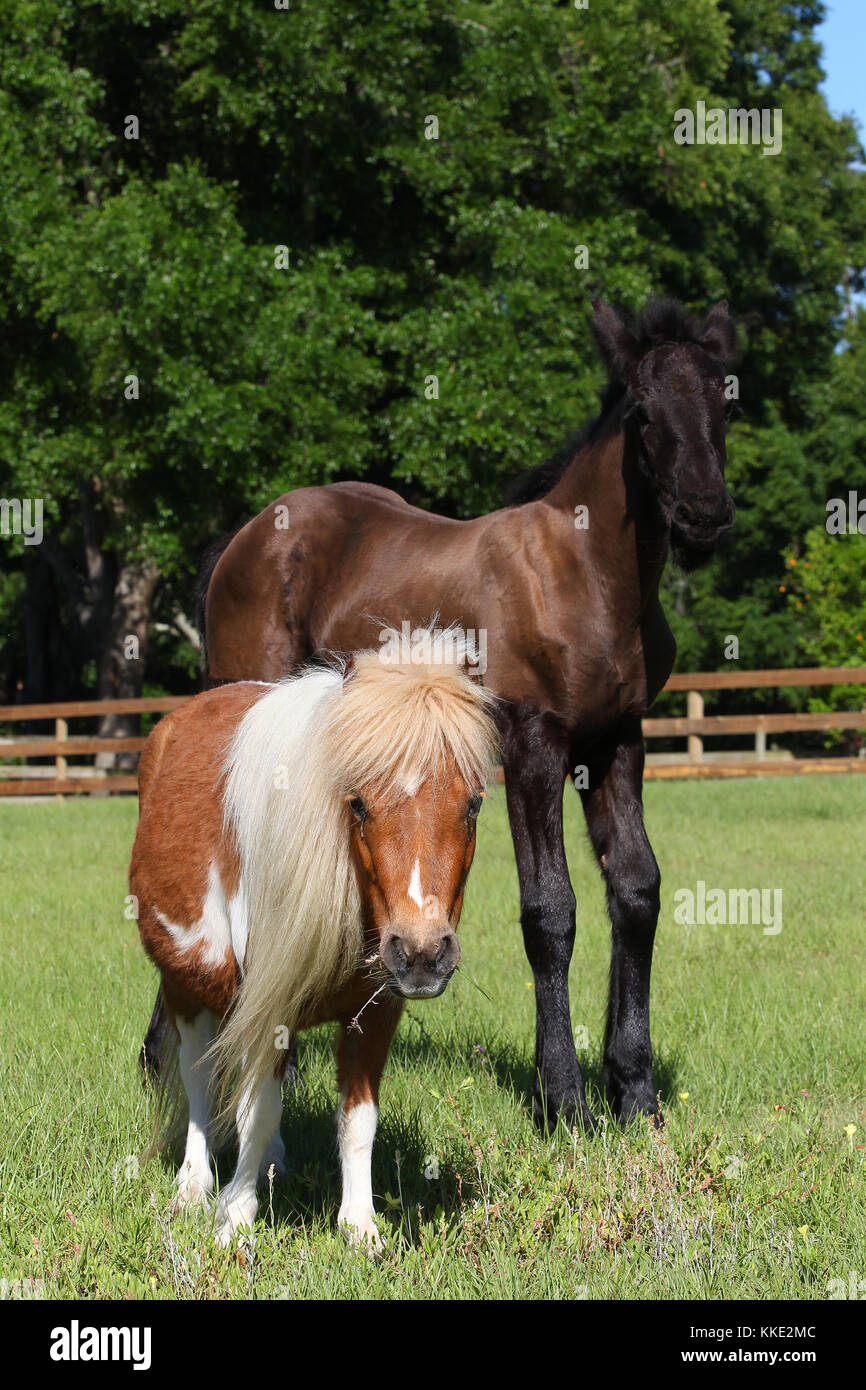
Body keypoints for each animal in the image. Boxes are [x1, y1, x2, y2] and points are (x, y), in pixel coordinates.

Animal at [130, 638, 498, 1248]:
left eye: (472, 803)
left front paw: (359, 1226)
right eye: (358, 803)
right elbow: (256, 1111)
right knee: (199, 1081)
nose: (423, 955)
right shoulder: (264, 1001)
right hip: (184, 985)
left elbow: (357, 1120)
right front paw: (234, 1219)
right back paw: (193, 1186)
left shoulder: (377, 1009)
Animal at [142, 295, 737, 1134]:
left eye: (727, 400)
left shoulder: (617, 742)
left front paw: (636, 1093)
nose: (706, 512)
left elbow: (637, 890)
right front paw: (564, 1100)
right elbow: (550, 910)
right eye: (645, 411)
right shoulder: (532, 741)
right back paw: (182, 1052)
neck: (587, 575)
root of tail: (246, 536)